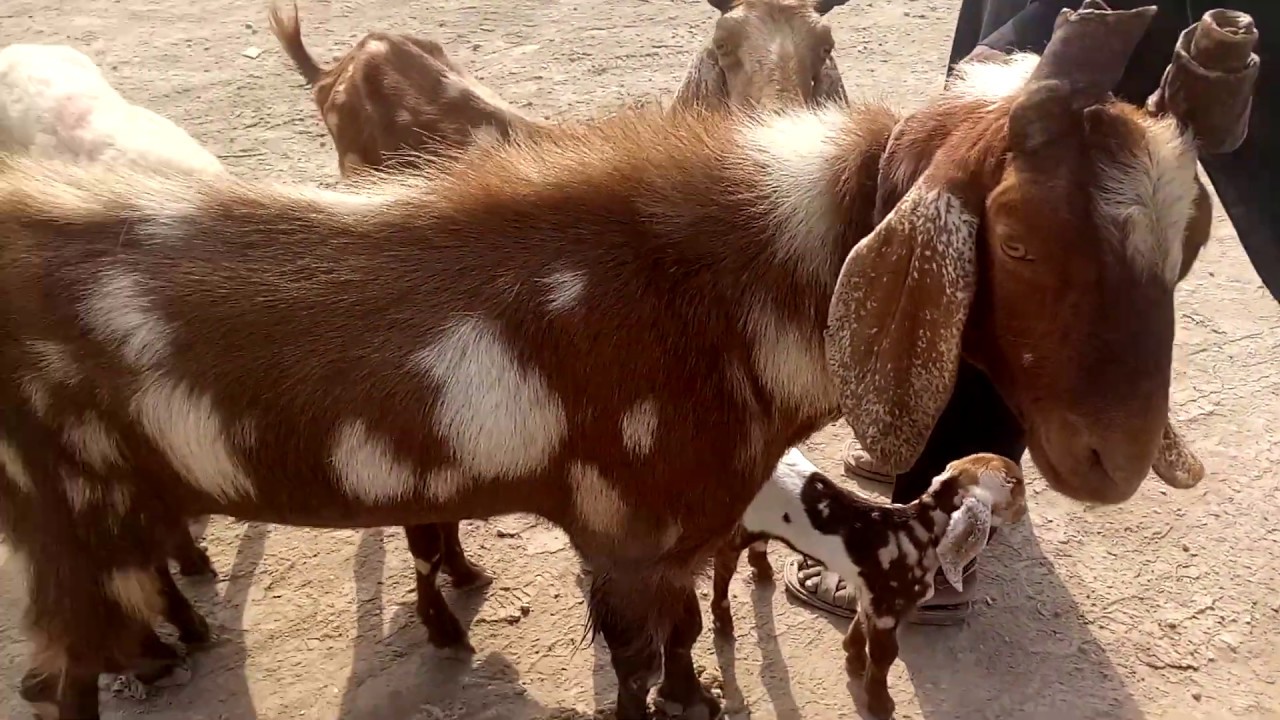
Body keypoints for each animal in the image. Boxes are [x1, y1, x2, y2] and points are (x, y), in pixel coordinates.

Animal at [713, 449, 1025, 719]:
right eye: (1014, 485)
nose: (1023, 512)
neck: (917, 531)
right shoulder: (888, 607)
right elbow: (886, 655)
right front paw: (879, 703)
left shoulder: (871, 595)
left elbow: (860, 625)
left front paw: (853, 659)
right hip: (741, 522)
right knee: (723, 561)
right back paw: (722, 621)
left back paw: (762, 569)